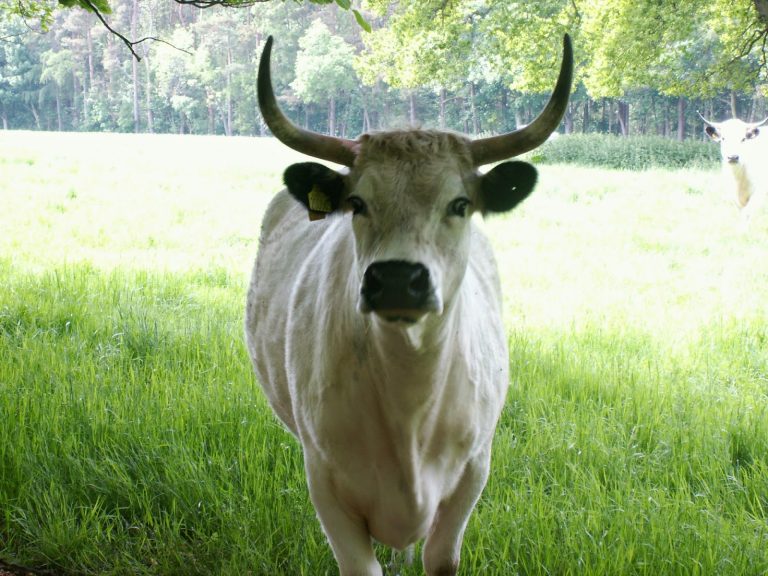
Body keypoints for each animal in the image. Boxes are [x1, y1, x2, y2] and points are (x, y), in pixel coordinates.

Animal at [245, 35, 573, 576]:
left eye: (460, 204)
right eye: (357, 203)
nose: (398, 280)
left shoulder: (472, 473)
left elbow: (440, 558)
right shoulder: (325, 482)